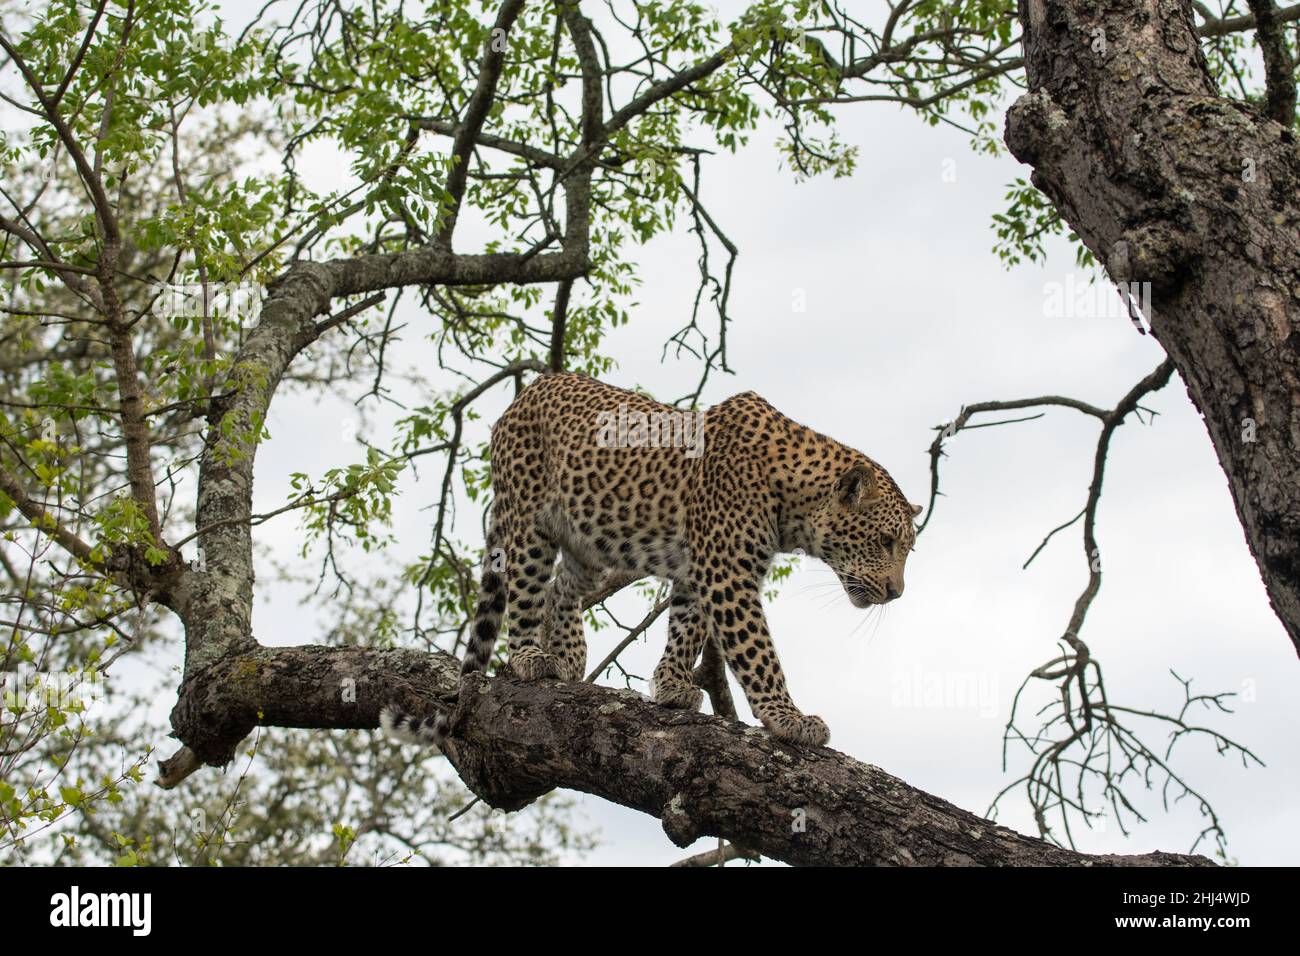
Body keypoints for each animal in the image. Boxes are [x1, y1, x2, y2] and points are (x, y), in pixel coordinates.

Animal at [381, 371, 920, 748]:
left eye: (905, 547)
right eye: (886, 542)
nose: (897, 592)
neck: (795, 499)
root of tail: (526, 393)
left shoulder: (698, 568)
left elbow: (685, 627)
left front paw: (670, 685)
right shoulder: (728, 574)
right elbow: (758, 653)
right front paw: (790, 719)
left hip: (590, 542)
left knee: (561, 587)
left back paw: (569, 656)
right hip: (529, 519)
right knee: (528, 587)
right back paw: (532, 656)